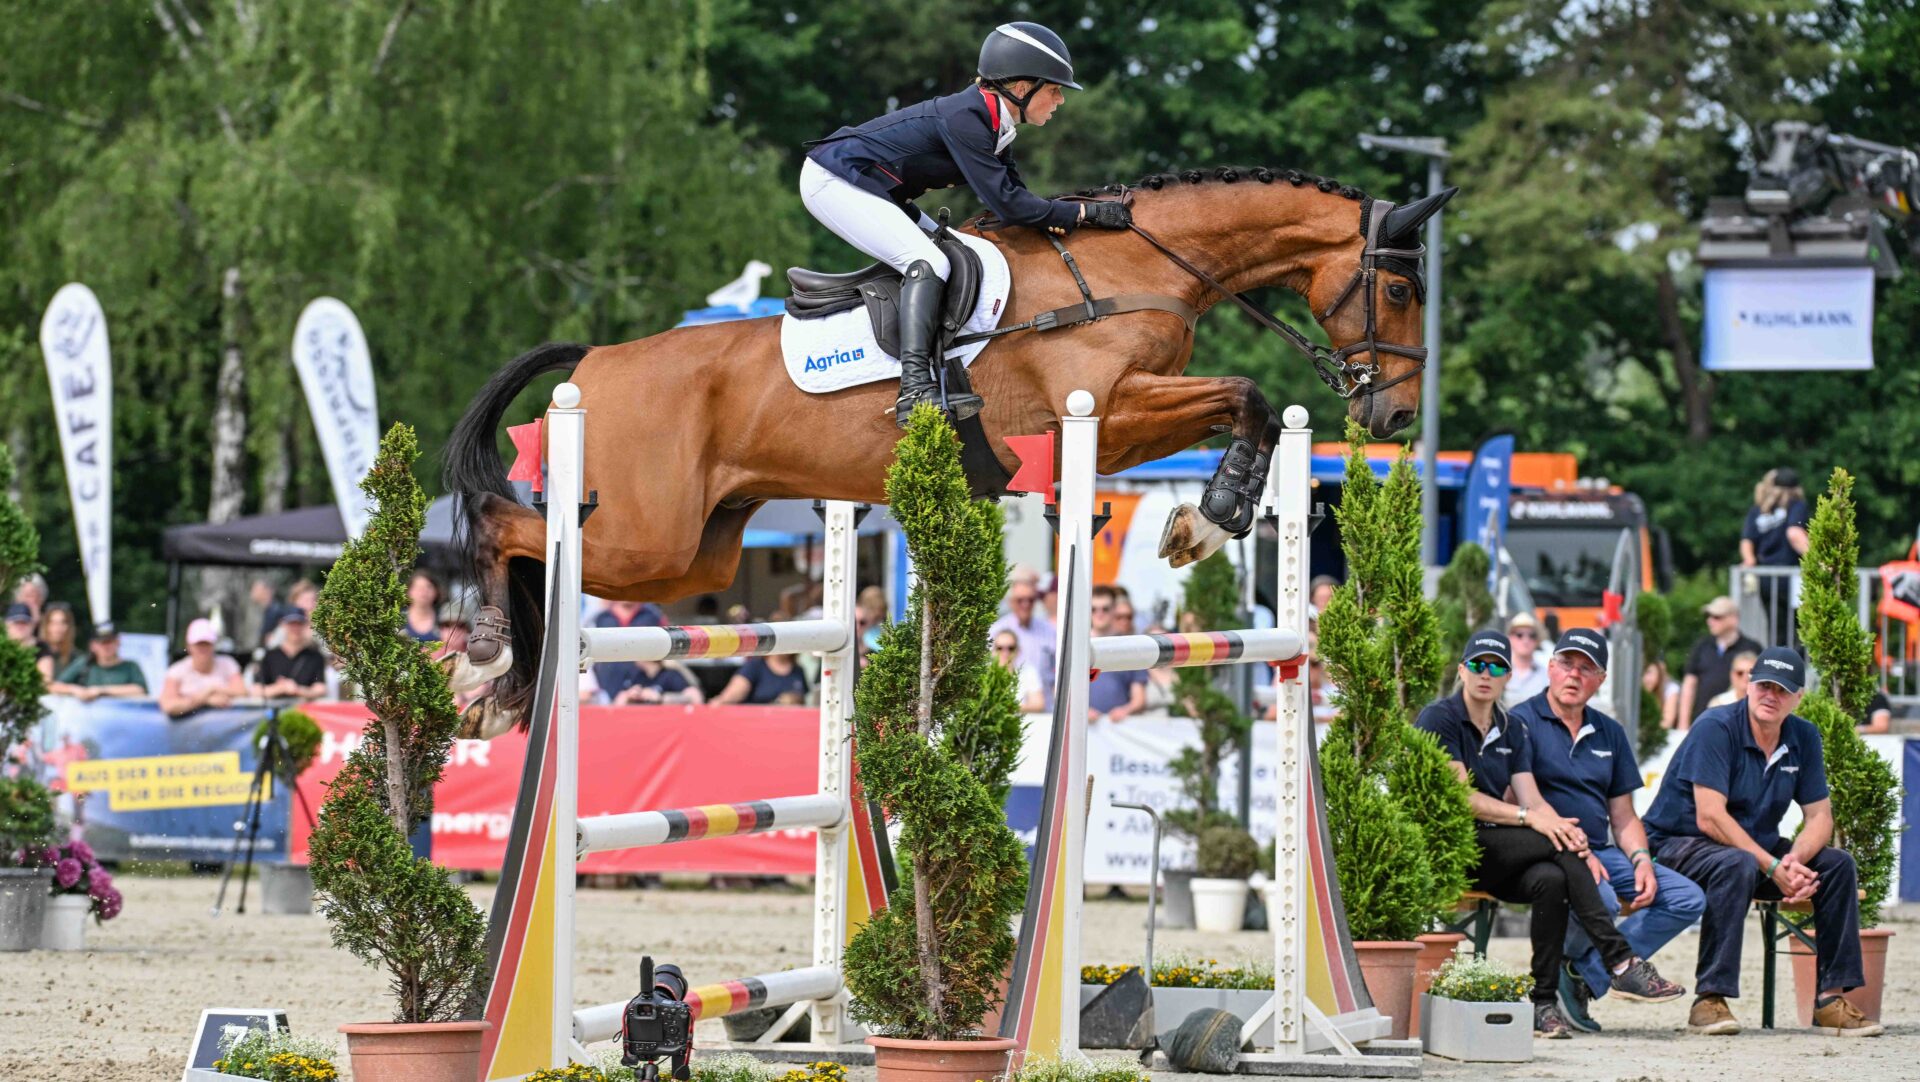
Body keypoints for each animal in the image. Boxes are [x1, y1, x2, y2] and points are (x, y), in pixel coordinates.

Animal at [443, 166, 1454, 737]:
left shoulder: (1130, 416)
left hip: (701, 550)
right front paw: (1205, 523)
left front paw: (1205, 520)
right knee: (505, 526)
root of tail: (597, 359)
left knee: (549, 549)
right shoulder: (1103, 411)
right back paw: (484, 659)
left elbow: (1246, 407)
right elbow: (1247, 396)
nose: (1400, 414)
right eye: (1403, 291)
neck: (1135, 267)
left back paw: (504, 689)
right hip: (647, 535)